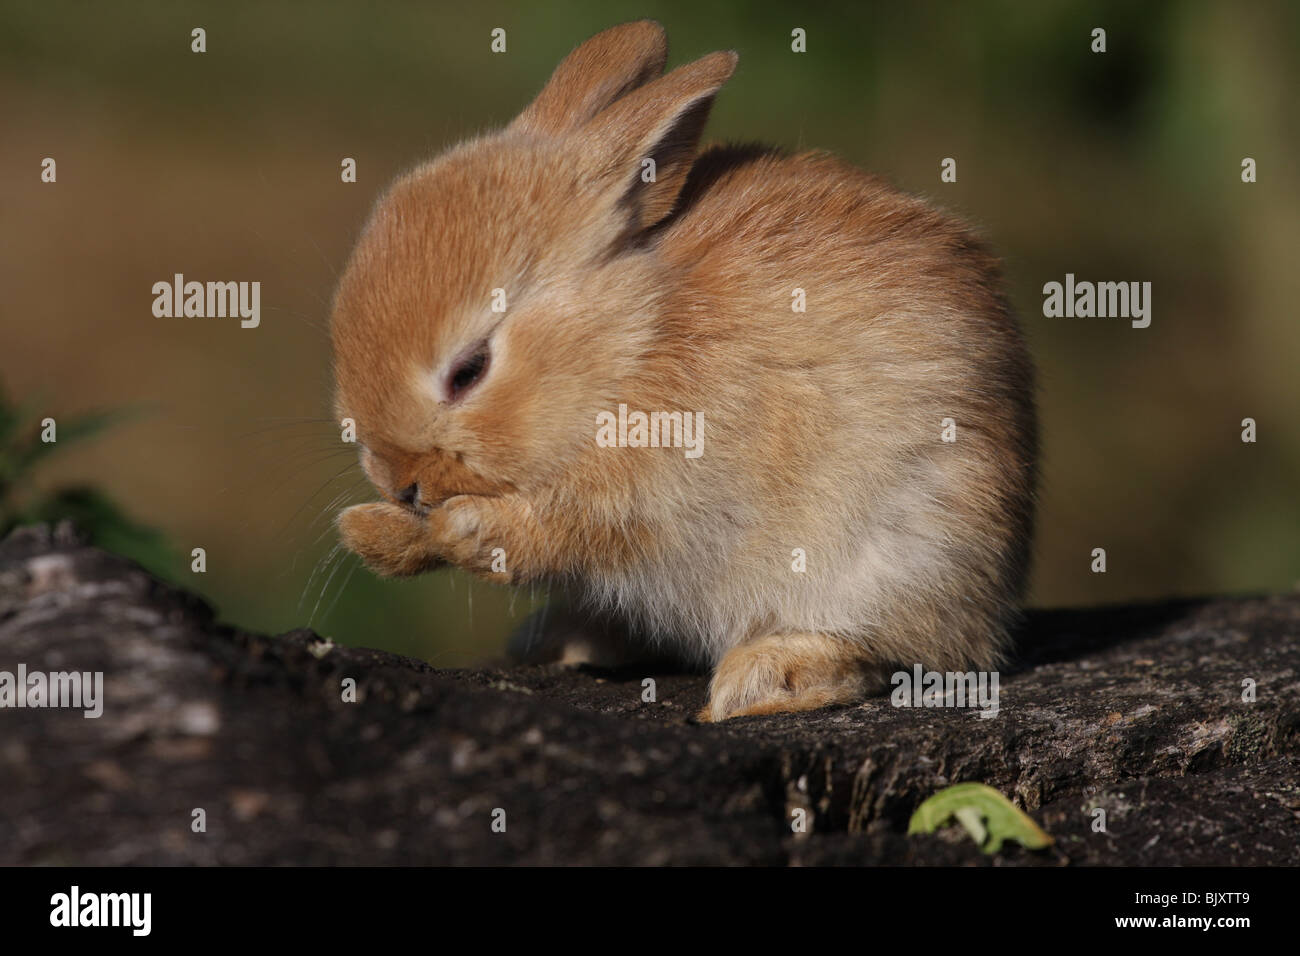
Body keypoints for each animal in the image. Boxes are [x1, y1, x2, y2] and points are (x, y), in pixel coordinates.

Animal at [332, 20, 1037, 721]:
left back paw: (761, 682)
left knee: (881, 650)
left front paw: (434, 529)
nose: (401, 485)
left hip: (907, 551)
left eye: (469, 371)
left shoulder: (638, 499)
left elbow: (542, 534)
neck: (627, 347)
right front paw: (373, 533)